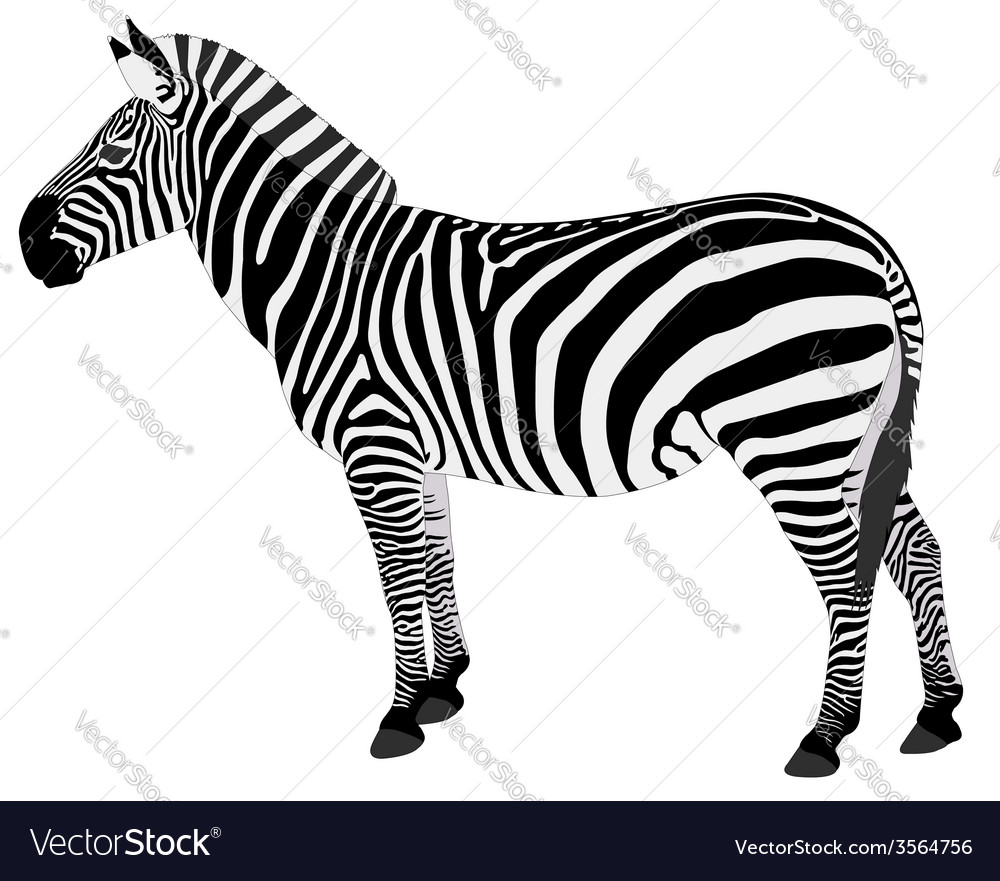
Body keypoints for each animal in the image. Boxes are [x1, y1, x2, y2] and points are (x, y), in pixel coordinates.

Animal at [19, 20, 963, 777]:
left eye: (112, 151)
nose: (25, 241)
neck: (326, 274)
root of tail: (864, 237)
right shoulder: (414, 450)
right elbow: (435, 558)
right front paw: (444, 689)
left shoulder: (373, 443)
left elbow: (397, 574)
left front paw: (400, 714)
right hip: (850, 436)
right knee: (912, 548)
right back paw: (937, 712)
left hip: (791, 433)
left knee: (845, 576)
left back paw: (824, 739)